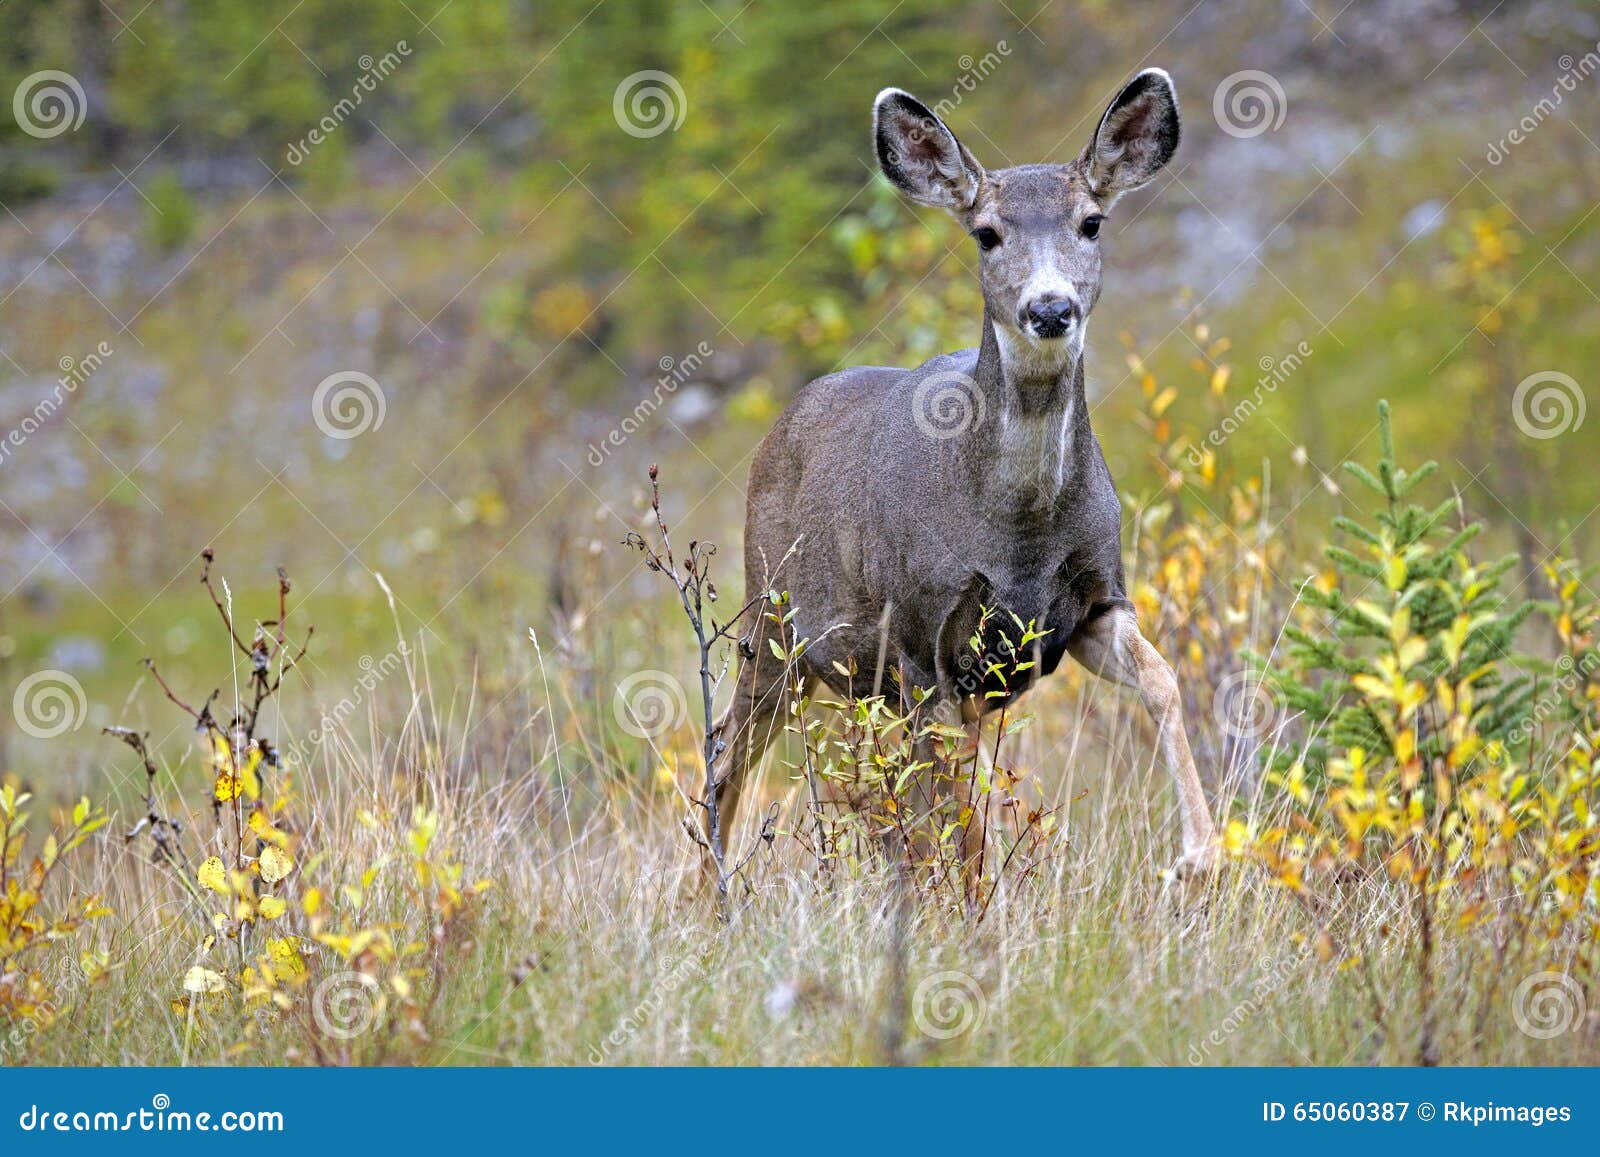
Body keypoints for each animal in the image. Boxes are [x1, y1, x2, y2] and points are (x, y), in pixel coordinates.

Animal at [707, 69, 1220, 896]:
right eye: (986, 233)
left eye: (1091, 222)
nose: (1051, 308)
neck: (1019, 534)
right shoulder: (925, 640)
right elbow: (959, 812)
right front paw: (979, 904)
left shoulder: (1093, 602)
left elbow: (1165, 678)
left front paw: (1200, 855)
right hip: (772, 615)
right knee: (727, 750)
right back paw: (713, 893)